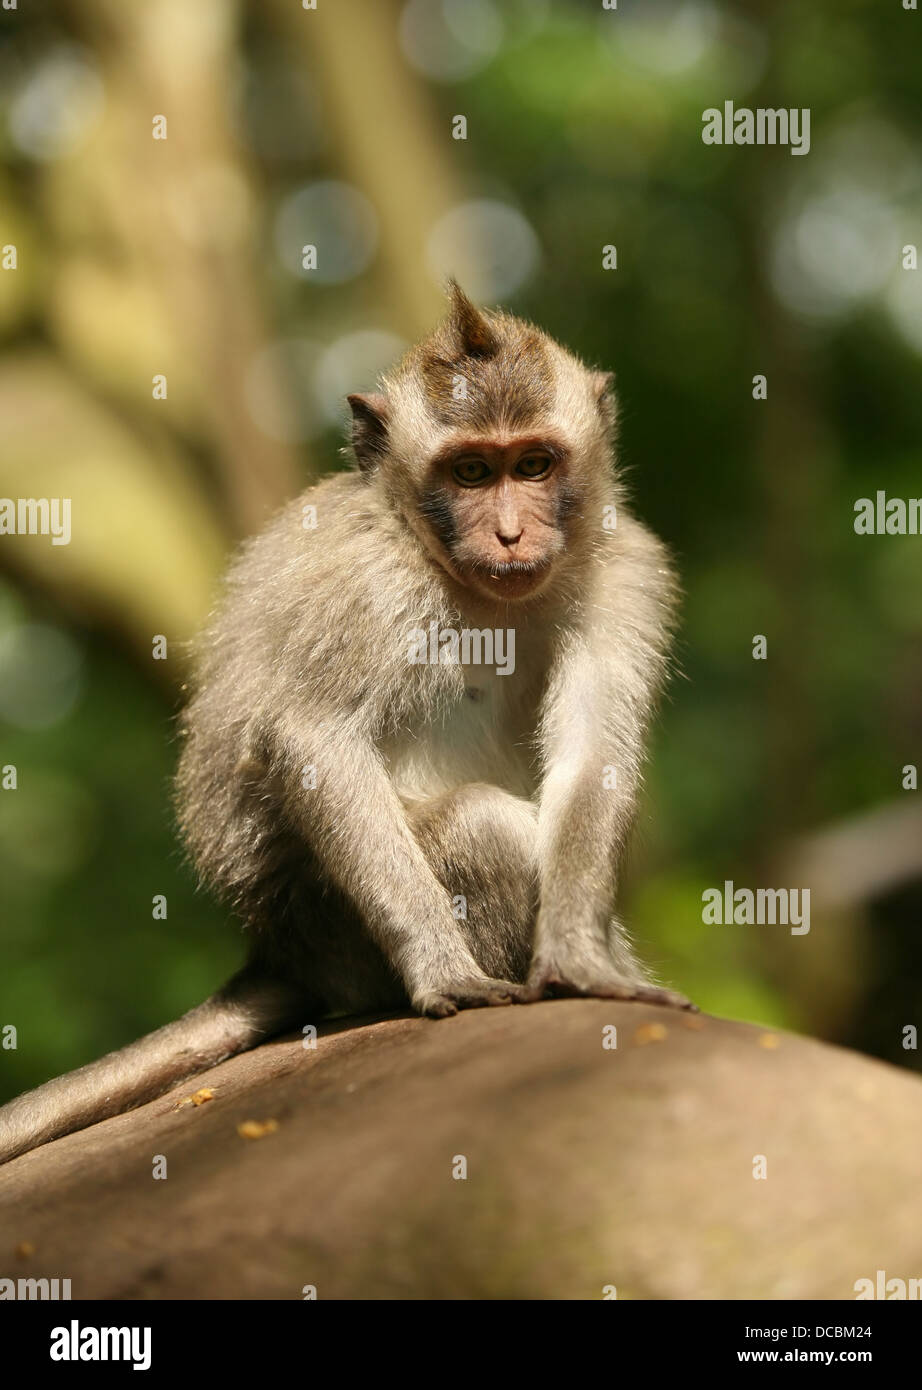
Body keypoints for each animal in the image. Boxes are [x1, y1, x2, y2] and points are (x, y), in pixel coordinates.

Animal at [0, 282, 692, 1166]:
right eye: (471, 472)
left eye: (533, 464)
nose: (510, 533)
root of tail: (277, 950)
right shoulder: (368, 579)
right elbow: (311, 738)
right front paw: (443, 969)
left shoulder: (625, 573)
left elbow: (591, 759)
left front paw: (577, 957)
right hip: (331, 923)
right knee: (482, 828)